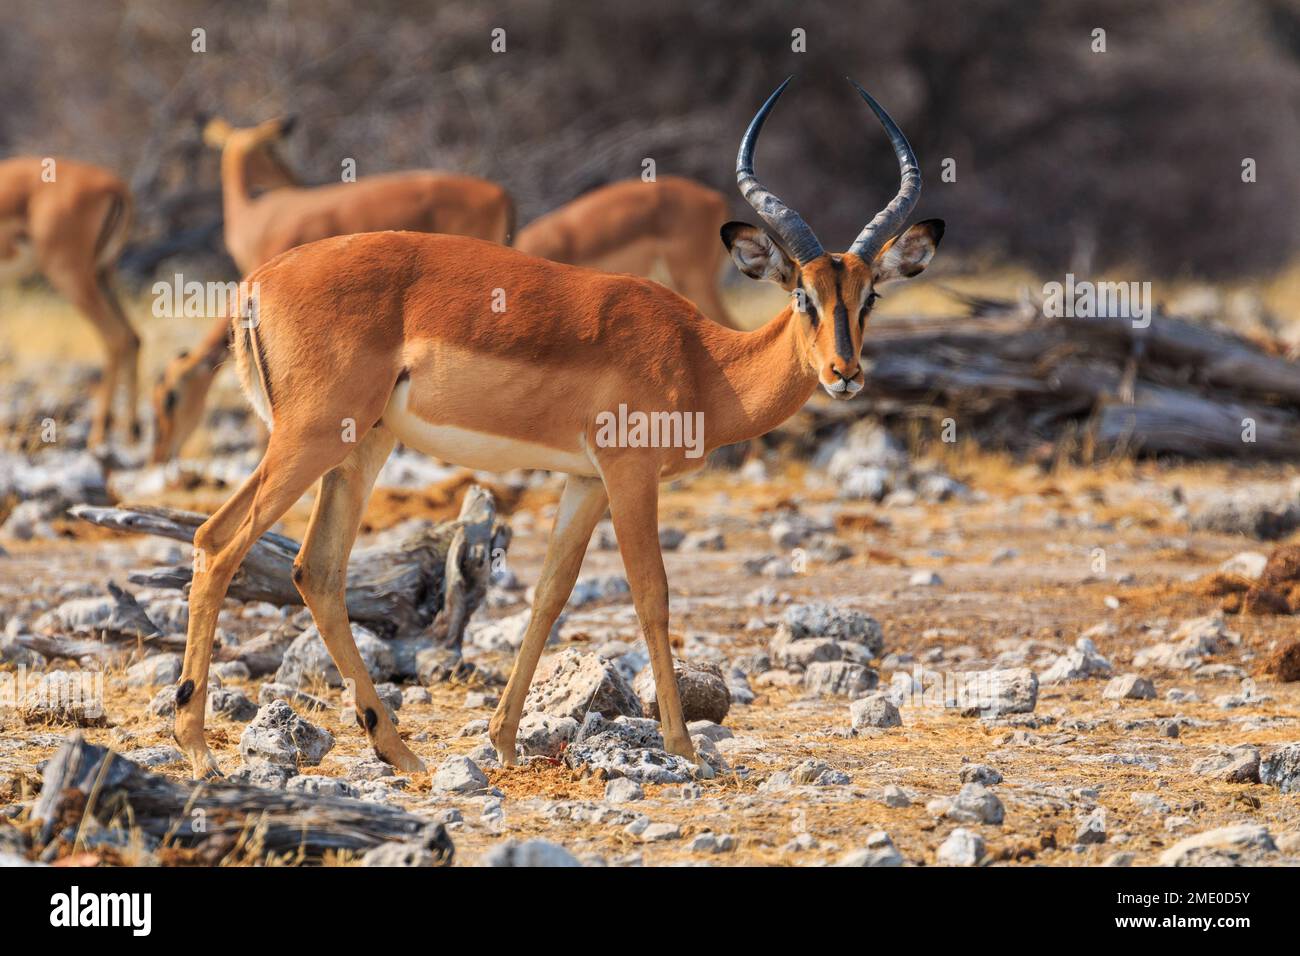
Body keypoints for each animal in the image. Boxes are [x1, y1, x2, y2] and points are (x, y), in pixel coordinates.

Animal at [0, 157, 137, 444]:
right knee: (133, 337)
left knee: (116, 336)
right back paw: (132, 430)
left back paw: (99, 433)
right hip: (102, 274)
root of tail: (116, 185)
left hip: (70, 277)